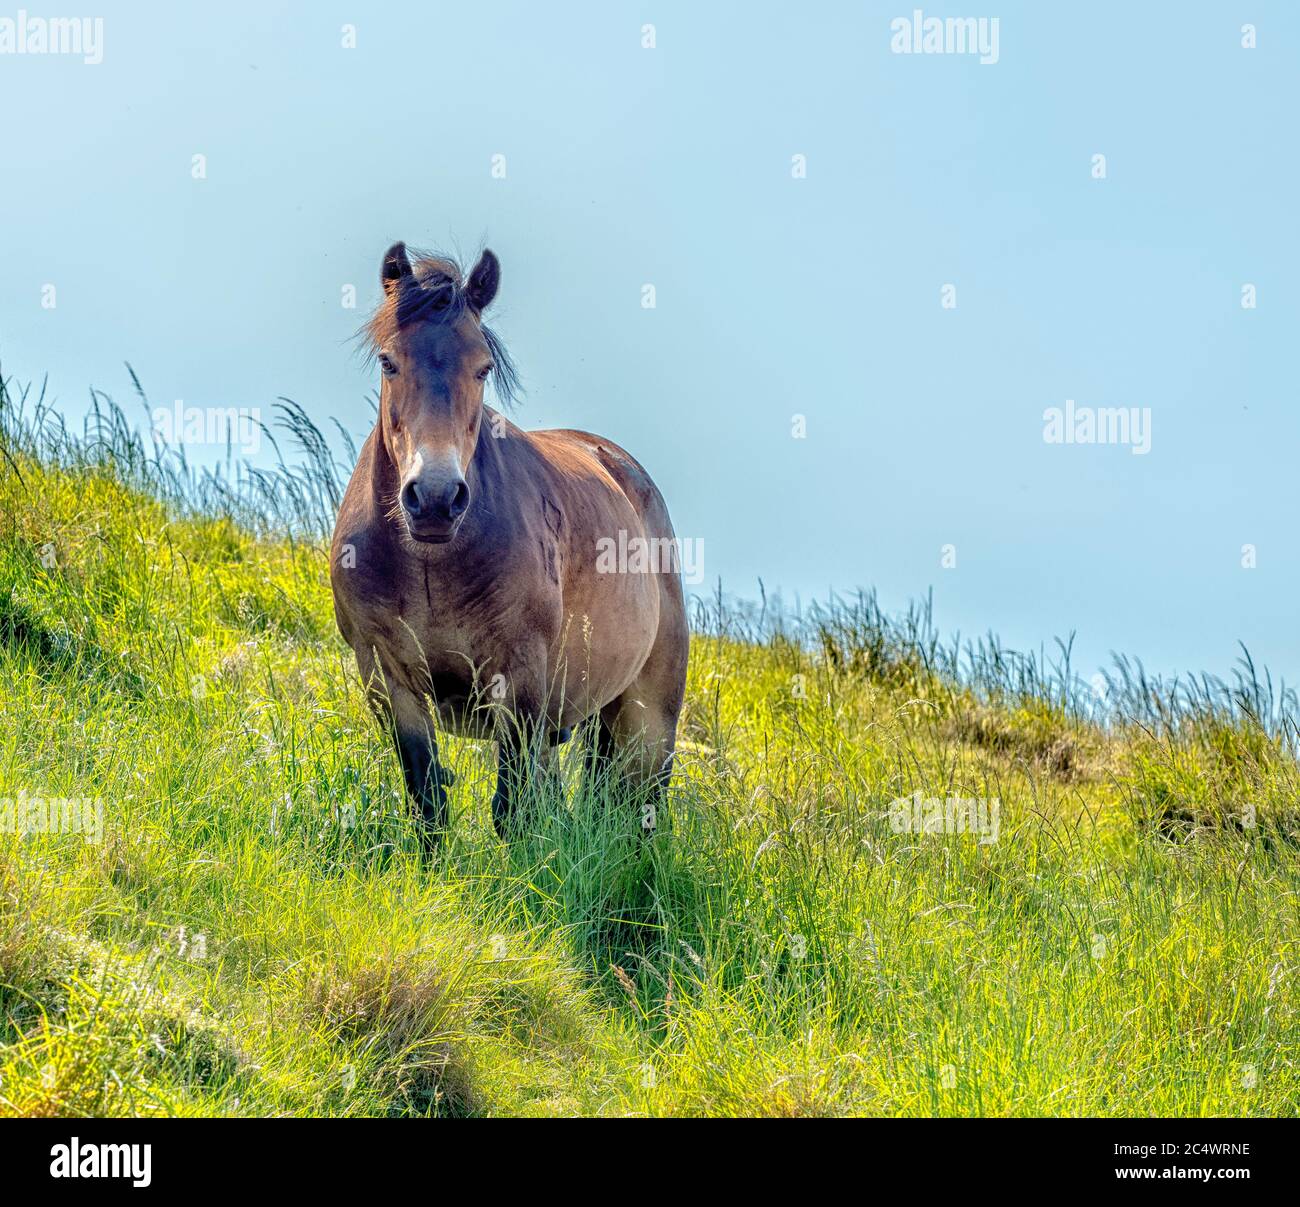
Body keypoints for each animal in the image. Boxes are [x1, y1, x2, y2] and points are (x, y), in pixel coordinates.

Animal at [329, 242, 689, 845]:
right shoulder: (387, 678)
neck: (429, 563)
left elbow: (512, 813)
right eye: (388, 361)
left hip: (647, 717)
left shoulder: (518, 679)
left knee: (640, 806)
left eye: (483, 367)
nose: (434, 498)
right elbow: (428, 800)